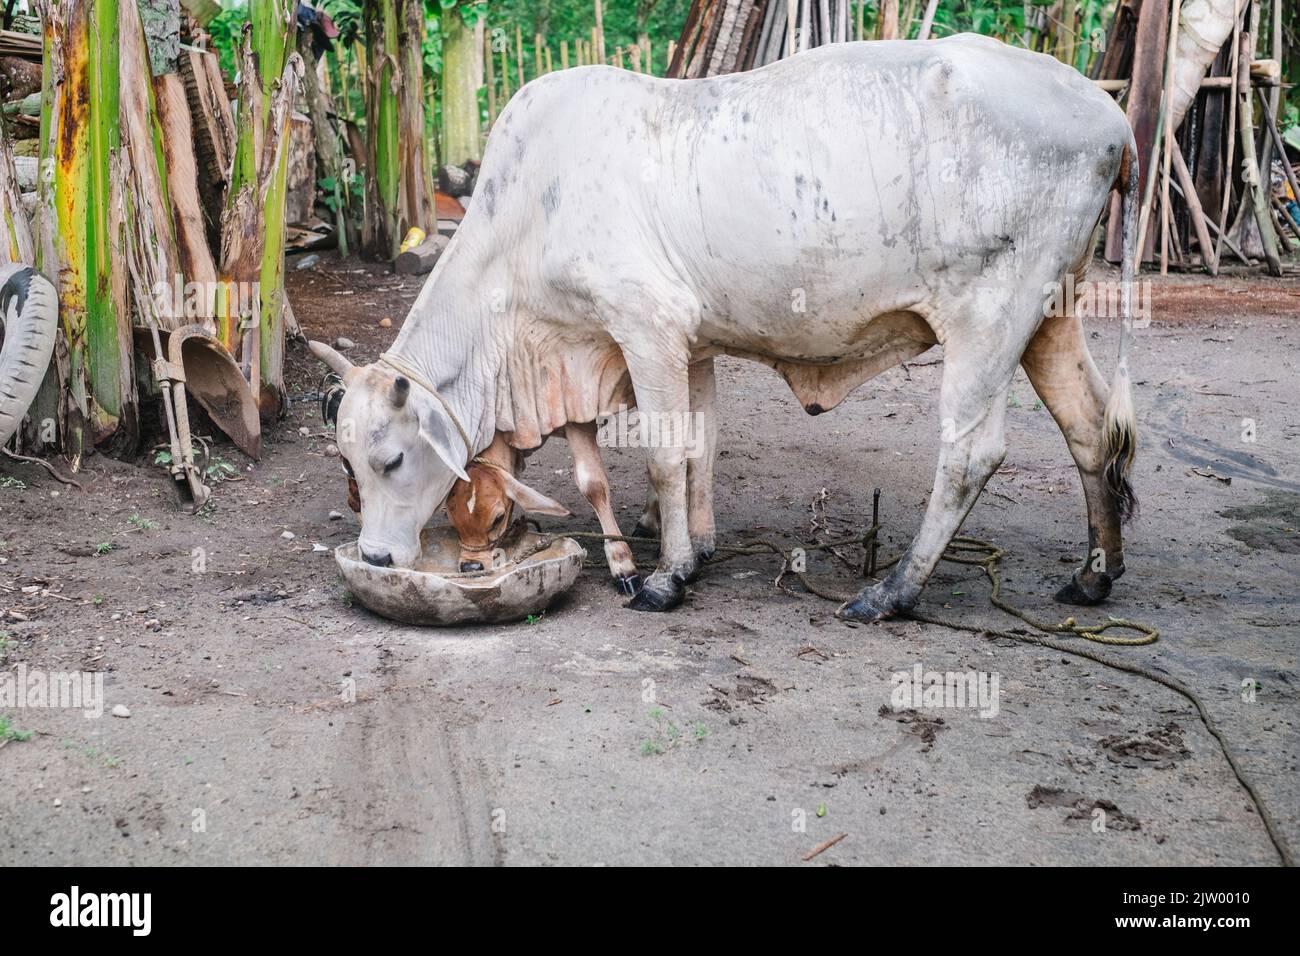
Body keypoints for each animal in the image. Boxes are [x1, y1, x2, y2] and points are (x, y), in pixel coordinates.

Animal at [309, 34, 1139, 622]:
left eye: (389, 459)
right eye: (344, 464)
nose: (377, 559)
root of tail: (1111, 115)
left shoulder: (645, 327)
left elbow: (664, 456)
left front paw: (665, 578)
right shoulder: (693, 344)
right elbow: (700, 447)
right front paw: (699, 550)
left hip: (989, 317)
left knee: (972, 454)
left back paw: (894, 592)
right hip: (1051, 313)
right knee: (1091, 428)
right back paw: (1093, 575)